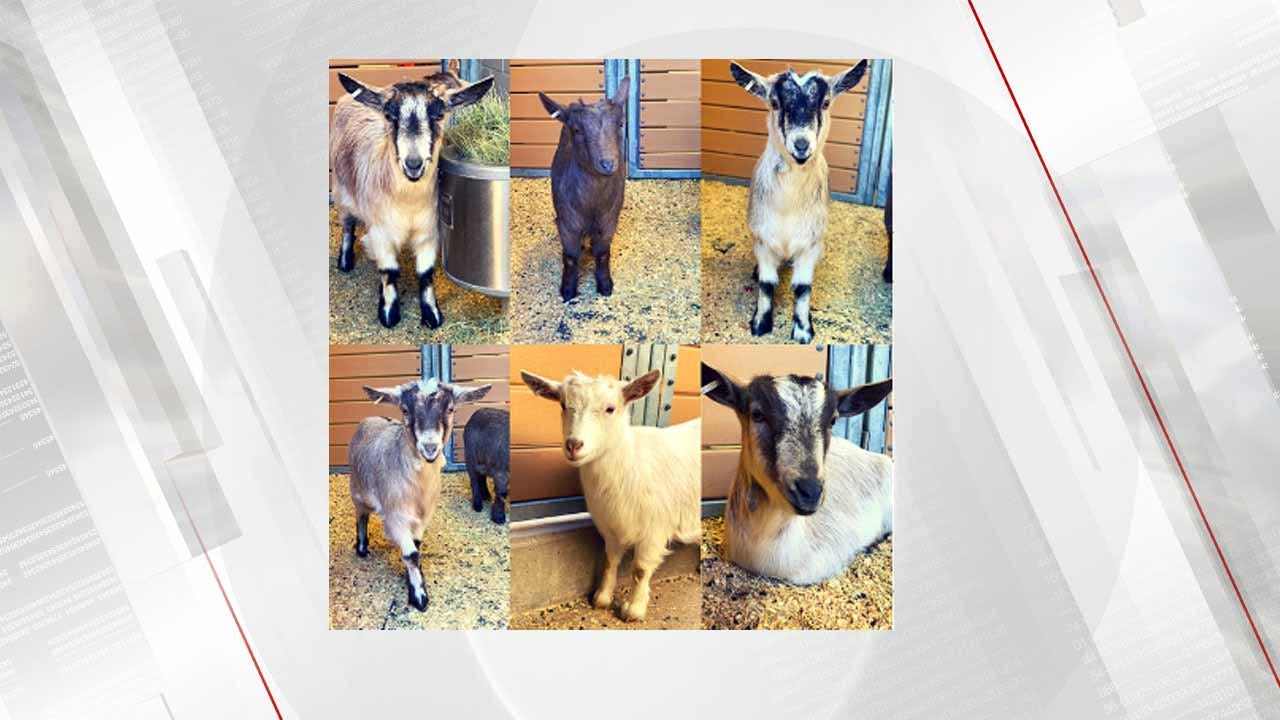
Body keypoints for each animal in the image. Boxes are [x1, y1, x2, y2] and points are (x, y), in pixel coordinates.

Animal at [330, 68, 494, 329]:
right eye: (389, 115)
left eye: (439, 115)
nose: (414, 164)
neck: (408, 202)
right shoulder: (381, 231)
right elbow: (389, 272)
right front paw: (389, 314)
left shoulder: (429, 230)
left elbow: (425, 274)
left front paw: (432, 314)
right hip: (341, 190)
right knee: (347, 225)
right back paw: (345, 262)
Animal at [349, 378, 491, 610]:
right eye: (405, 410)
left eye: (450, 409)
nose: (430, 447)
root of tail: (373, 418)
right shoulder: (396, 516)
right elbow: (411, 555)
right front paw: (419, 598)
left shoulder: (422, 518)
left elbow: (415, 549)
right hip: (357, 490)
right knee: (361, 515)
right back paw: (361, 548)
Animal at [520, 368, 700, 621]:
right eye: (563, 405)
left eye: (610, 408)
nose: (573, 445)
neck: (630, 460)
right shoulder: (611, 525)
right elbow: (610, 561)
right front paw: (602, 598)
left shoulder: (655, 528)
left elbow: (640, 570)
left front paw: (633, 610)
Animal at [538, 77, 630, 302]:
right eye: (577, 130)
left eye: (620, 123)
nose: (608, 164)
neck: (591, 207)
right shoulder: (566, 223)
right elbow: (570, 257)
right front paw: (568, 290)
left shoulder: (609, 221)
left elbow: (603, 254)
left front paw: (605, 286)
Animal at [729, 60, 869, 343]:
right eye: (774, 103)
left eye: (825, 103)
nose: (802, 144)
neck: (788, 208)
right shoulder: (763, 240)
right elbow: (766, 285)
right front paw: (760, 324)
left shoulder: (810, 244)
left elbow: (803, 288)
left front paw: (803, 331)